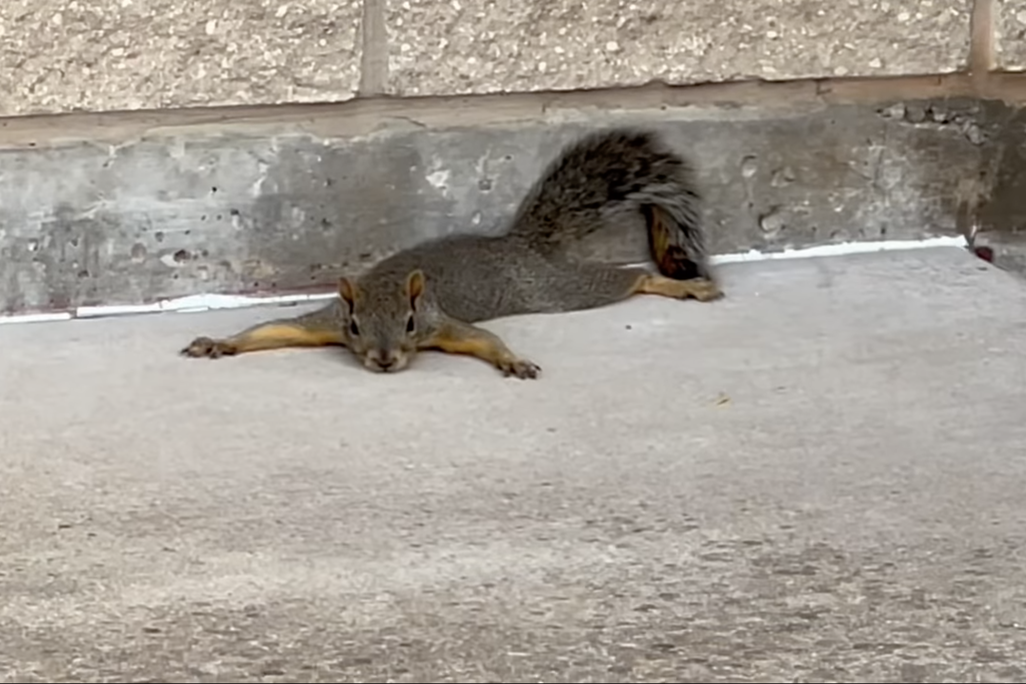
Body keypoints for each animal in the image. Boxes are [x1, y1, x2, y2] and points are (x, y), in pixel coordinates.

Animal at [180, 127, 723, 379]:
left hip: (554, 287)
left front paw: (513, 361)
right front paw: (219, 343)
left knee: (627, 278)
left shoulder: (443, 323)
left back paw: (682, 285)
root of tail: (518, 241)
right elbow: (273, 330)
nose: (384, 362)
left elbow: (483, 340)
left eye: (411, 323)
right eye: (354, 326)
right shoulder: (324, 322)